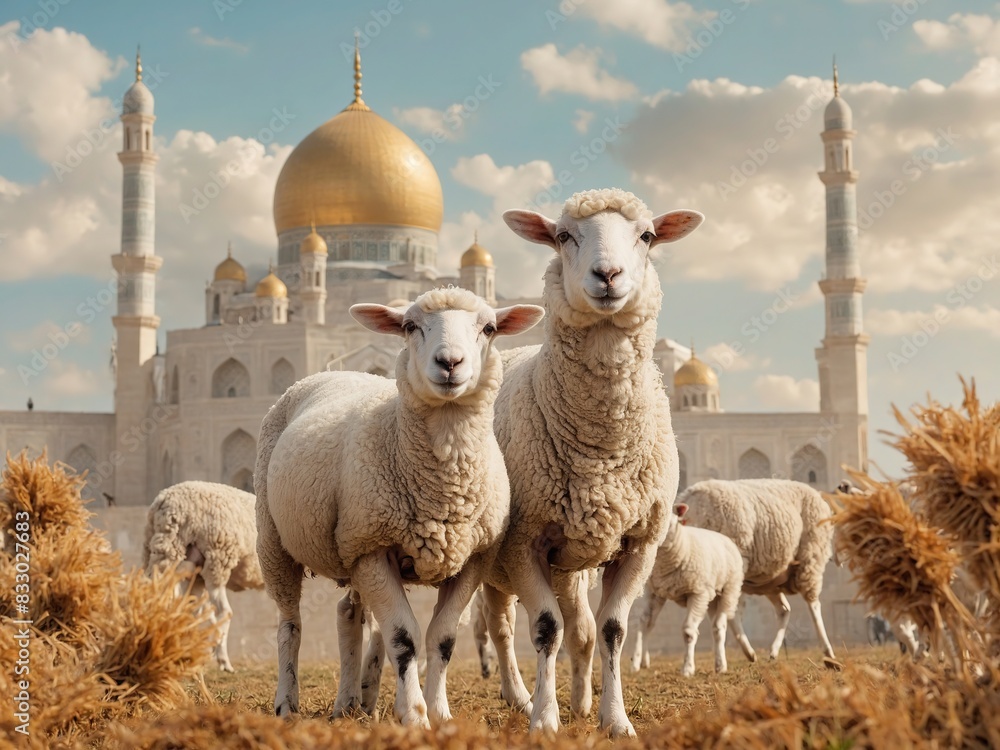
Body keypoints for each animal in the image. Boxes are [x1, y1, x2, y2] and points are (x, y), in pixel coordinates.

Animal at [254, 287, 544, 728]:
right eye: (409, 326)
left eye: (489, 328)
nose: (449, 363)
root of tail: (328, 373)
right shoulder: (373, 549)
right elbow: (402, 637)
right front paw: (415, 716)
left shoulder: (472, 559)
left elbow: (442, 637)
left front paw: (439, 713)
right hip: (277, 539)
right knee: (290, 624)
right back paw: (287, 703)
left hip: (350, 544)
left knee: (349, 615)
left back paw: (351, 702)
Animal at [481, 188, 704, 736]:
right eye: (563, 235)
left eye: (647, 235)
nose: (608, 275)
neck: (601, 453)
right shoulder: (522, 541)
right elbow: (544, 630)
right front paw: (544, 719)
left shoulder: (640, 543)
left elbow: (611, 631)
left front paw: (614, 718)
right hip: (496, 561)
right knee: (501, 627)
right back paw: (517, 696)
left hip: (572, 562)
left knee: (580, 628)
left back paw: (580, 700)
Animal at [630, 504, 748, 676]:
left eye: (672, 523)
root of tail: (723, 537)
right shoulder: (654, 592)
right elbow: (645, 622)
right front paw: (637, 662)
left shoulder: (697, 593)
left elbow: (688, 631)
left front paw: (687, 668)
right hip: (711, 598)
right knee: (714, 627)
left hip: (728, 590)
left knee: (719, 627)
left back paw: (721, 665)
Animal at [678, 478, 836, 663]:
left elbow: (729, 613)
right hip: (770, 580)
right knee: (784, 610)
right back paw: (772, 652)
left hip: (811, 557)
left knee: (813, 605)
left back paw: (828, 651)